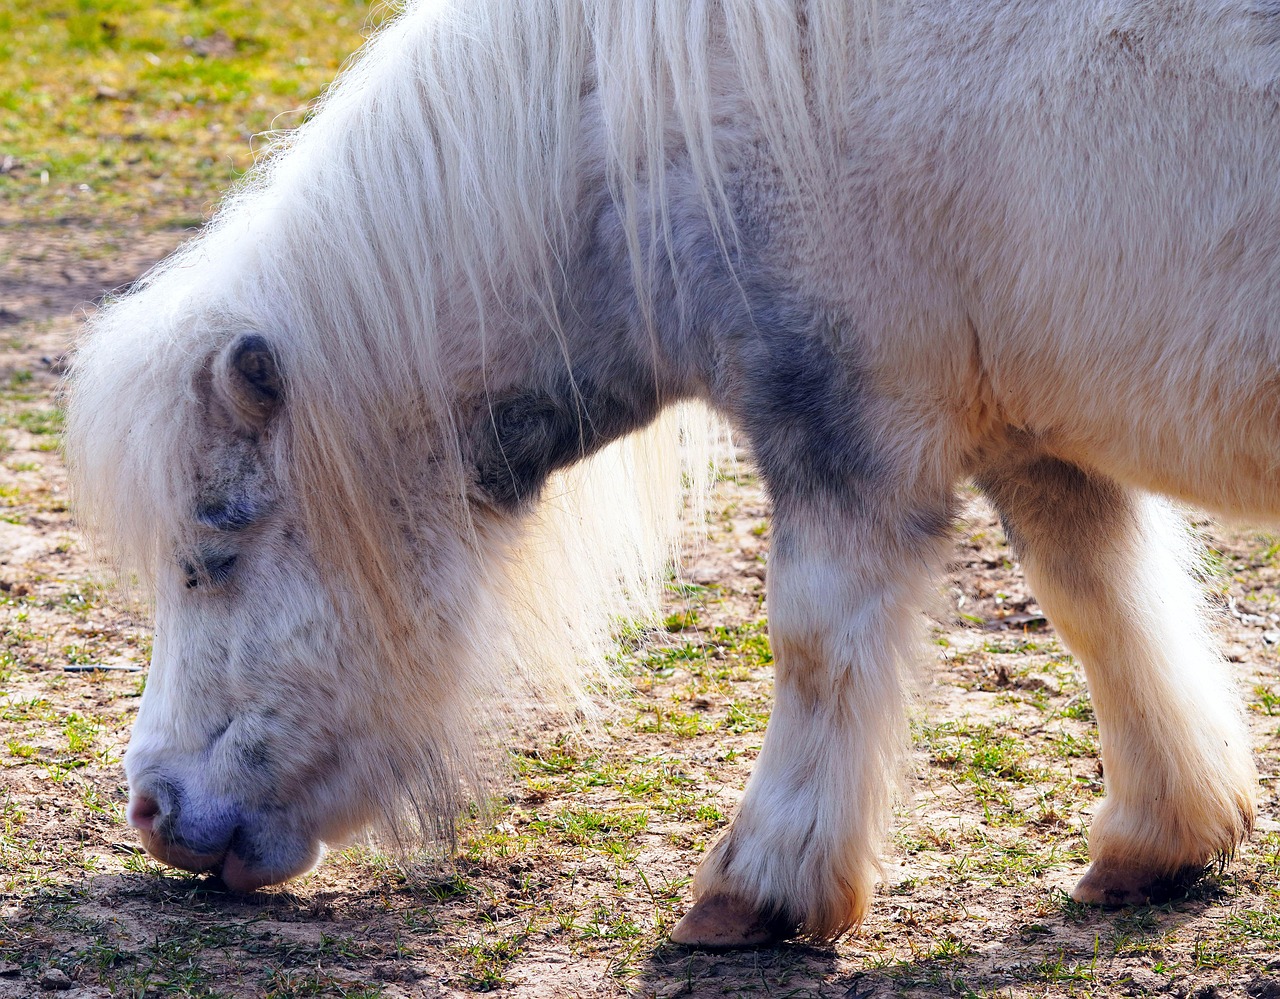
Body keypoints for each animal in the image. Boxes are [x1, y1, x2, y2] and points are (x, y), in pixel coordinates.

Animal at [65, 0, 1275, 947]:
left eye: (212, 548)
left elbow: (816, 643)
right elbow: (1102, 607)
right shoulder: (1029, 437)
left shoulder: (842, 426)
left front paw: (761, 888)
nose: (152, 810)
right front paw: (1164, 835)